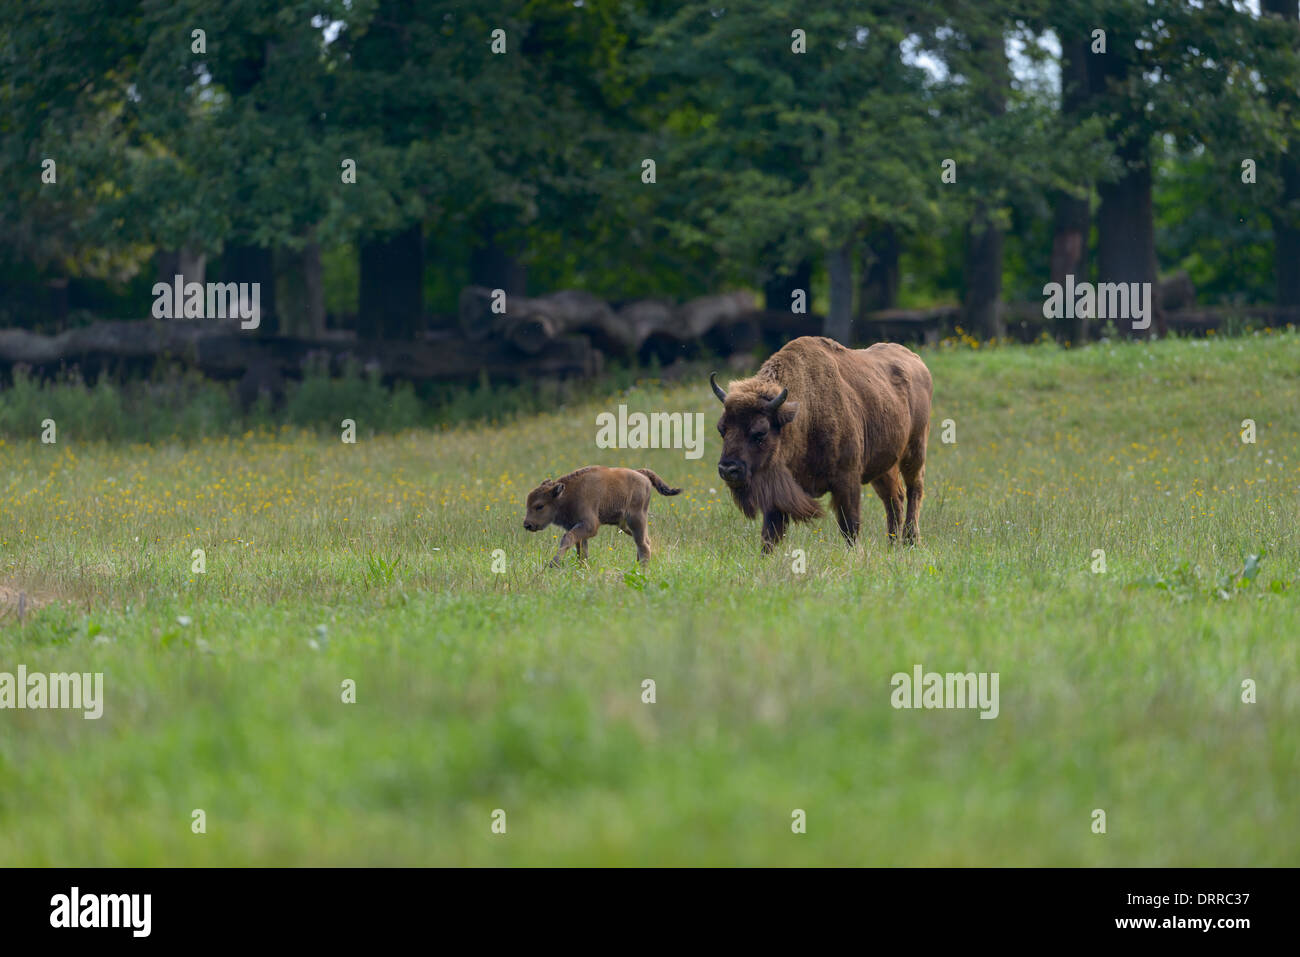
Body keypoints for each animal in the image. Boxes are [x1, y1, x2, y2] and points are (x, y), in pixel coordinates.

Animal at [710, 336, 932, 552]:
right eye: (722, 429)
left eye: (760, 432)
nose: (728, 469)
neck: (806, 414)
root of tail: (917, 361)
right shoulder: (779, 492)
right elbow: (770, 532)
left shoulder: (847, 479)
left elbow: (850, 525)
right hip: (884, 465)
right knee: (894, 497)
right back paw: (892, 545)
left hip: (915, 450)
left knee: (914, 490)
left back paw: (911, 541)